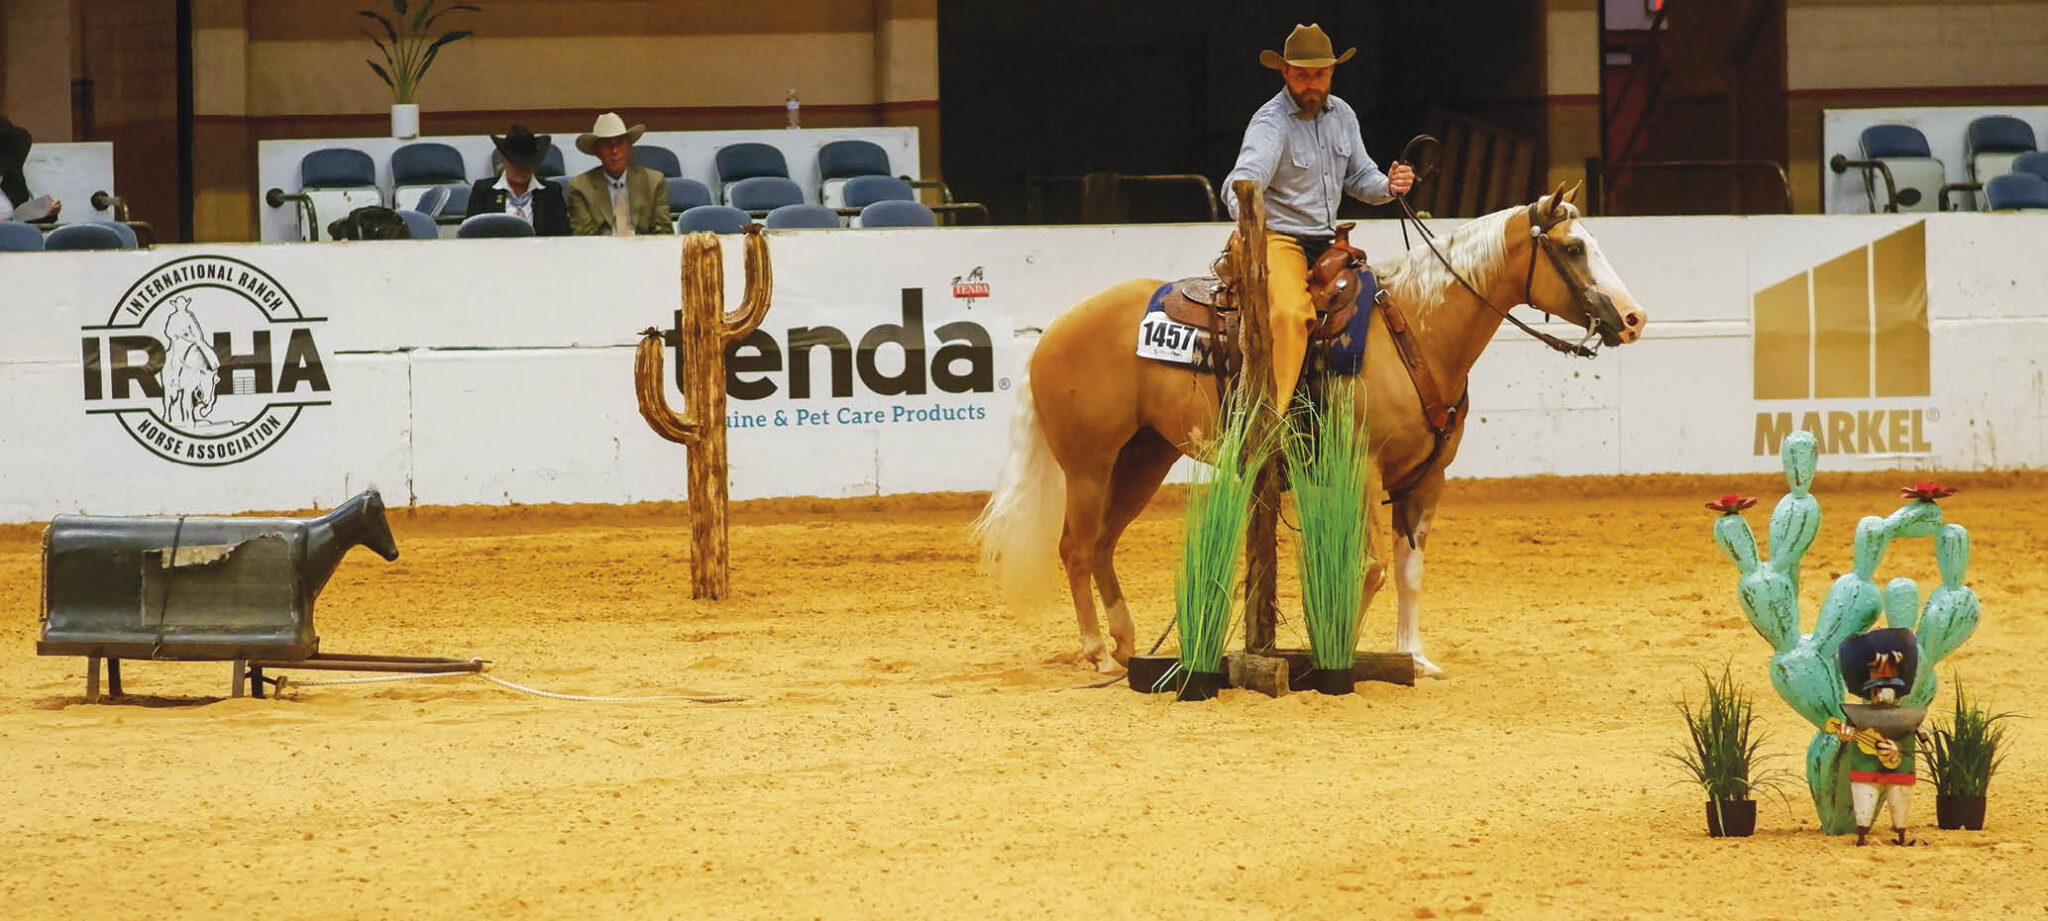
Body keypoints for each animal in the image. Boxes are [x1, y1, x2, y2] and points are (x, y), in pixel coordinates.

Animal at [974, 186, 1649, 678]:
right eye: (1572, 248)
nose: (1634, 319)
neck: (1416, 330)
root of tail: (1055, 330)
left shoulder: (1427, 479)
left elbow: (1408, 572)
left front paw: (1415, 657)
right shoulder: (1362, 466)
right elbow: (1368, 569)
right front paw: (1338, 649)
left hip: (1145, 457)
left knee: (1103, 544)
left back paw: (1123, 641)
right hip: (1089, 462)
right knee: (1075, 547)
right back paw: (1095, 651)